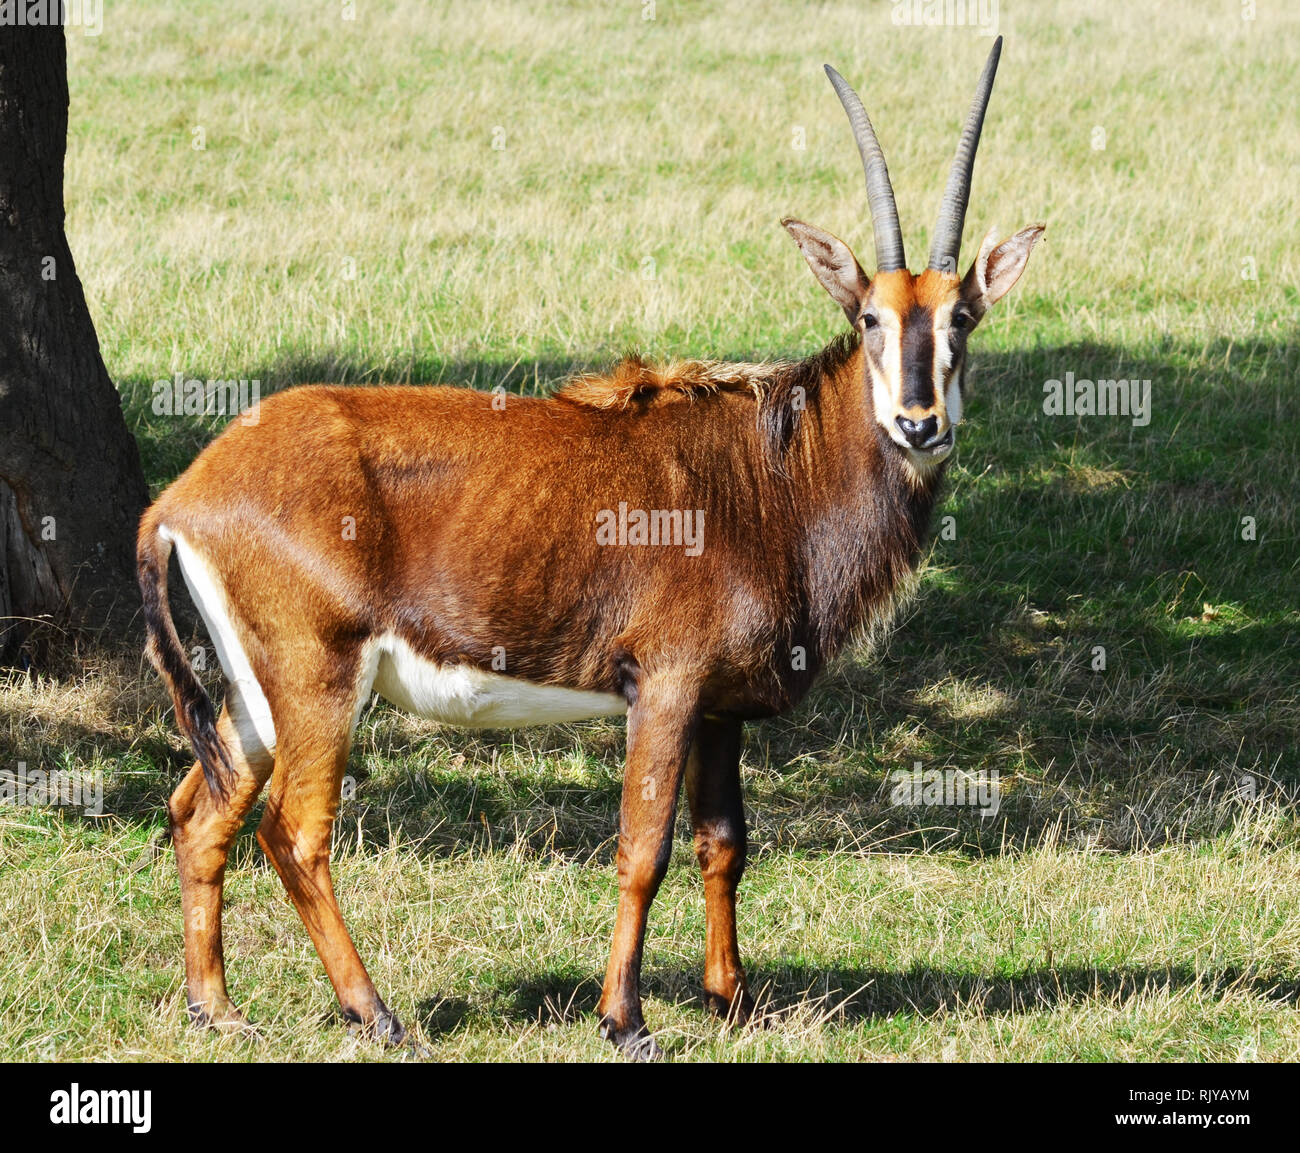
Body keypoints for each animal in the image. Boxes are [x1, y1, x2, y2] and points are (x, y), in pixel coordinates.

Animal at [138, 36, 1043, 1059]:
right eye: (870, 318)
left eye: (961, 318)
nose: (918, 424)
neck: (769, 474)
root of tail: (183, 496)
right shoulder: (666, 683)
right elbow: (643, 847)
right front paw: (624, 1016)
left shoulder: (718, 706)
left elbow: (725, 840)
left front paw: (732, 998)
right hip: (318, 679)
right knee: (293, 831)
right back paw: (375, 1011)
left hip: (253, 694)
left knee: (201, 811)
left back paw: (217, 1005)